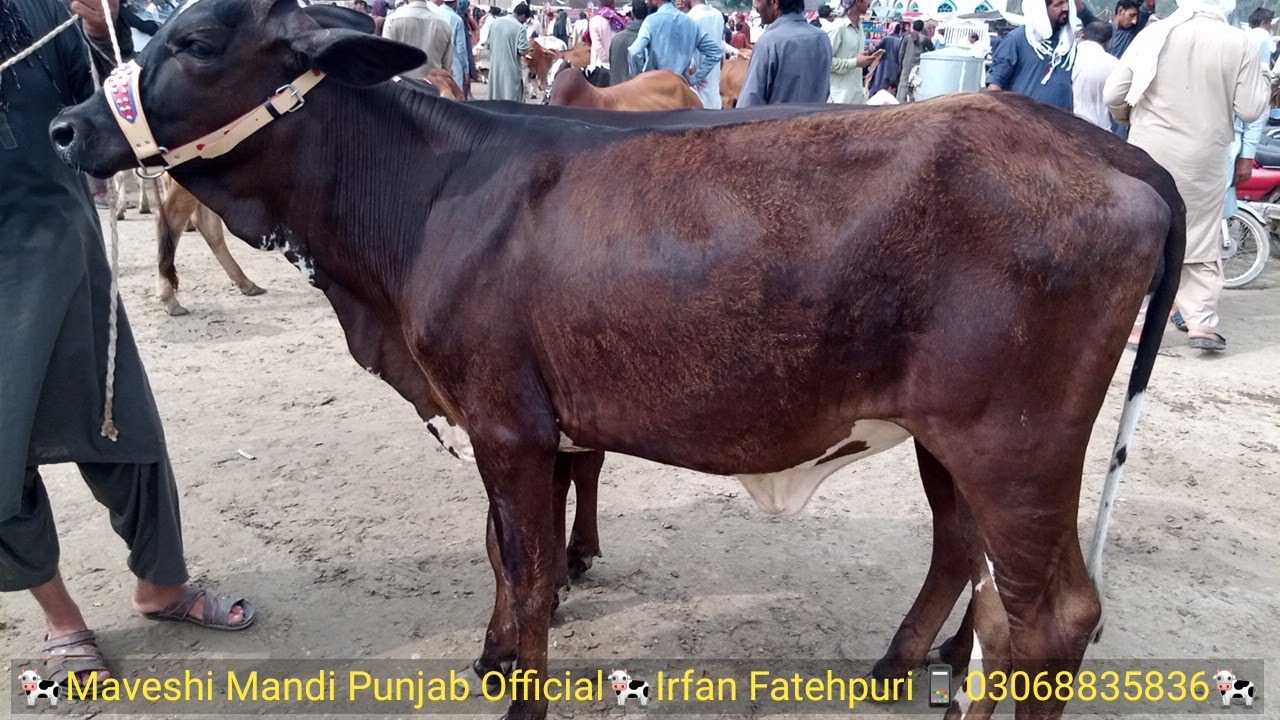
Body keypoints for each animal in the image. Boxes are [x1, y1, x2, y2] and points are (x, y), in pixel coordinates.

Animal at [52, 1, 1185, 717]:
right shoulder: (521, 424)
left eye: (196, 40)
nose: (63, 125)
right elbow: (505, 554)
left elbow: (527, 567)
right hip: (948, 440)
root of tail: (1108, 150)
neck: (423, 193)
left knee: (1051, 618)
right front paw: (494, 654)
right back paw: (896, 665)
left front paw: (518, 680)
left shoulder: (506, 421)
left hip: (1015, 445)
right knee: (969, 566)